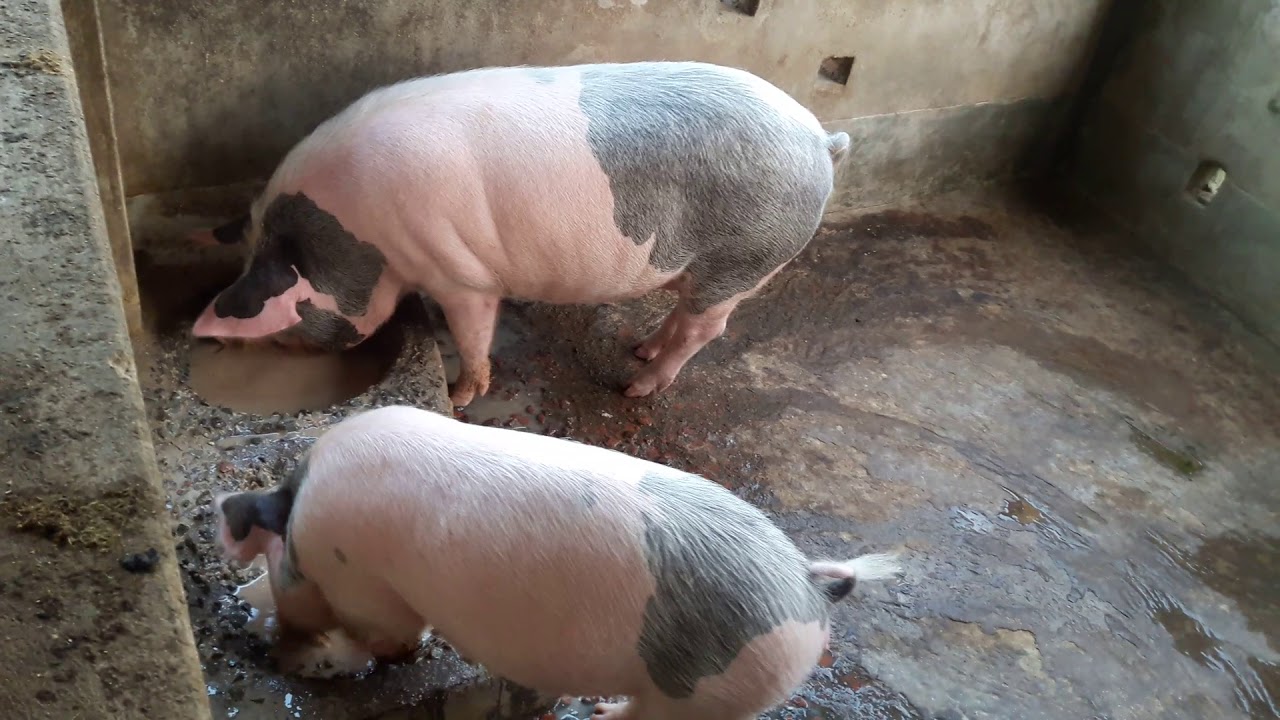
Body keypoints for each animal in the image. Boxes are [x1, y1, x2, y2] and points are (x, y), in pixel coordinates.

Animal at [191, 61, 852, 406]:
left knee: (707, 328)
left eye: (283, 335)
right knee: (684, 314)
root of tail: (819, 137)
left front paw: (461, 398)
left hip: (744, 259)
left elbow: (474, 331)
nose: (216, 342)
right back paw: (641, 349)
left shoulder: (459, 274)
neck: (362, 240)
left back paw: (636, 387)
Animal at [214, 405, 902, 720]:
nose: (267, 648)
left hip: (704, 694)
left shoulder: (363, 585)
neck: (301, 524)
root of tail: (806, 587)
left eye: (273, 562)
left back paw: (599, 714)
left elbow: (391, 640)